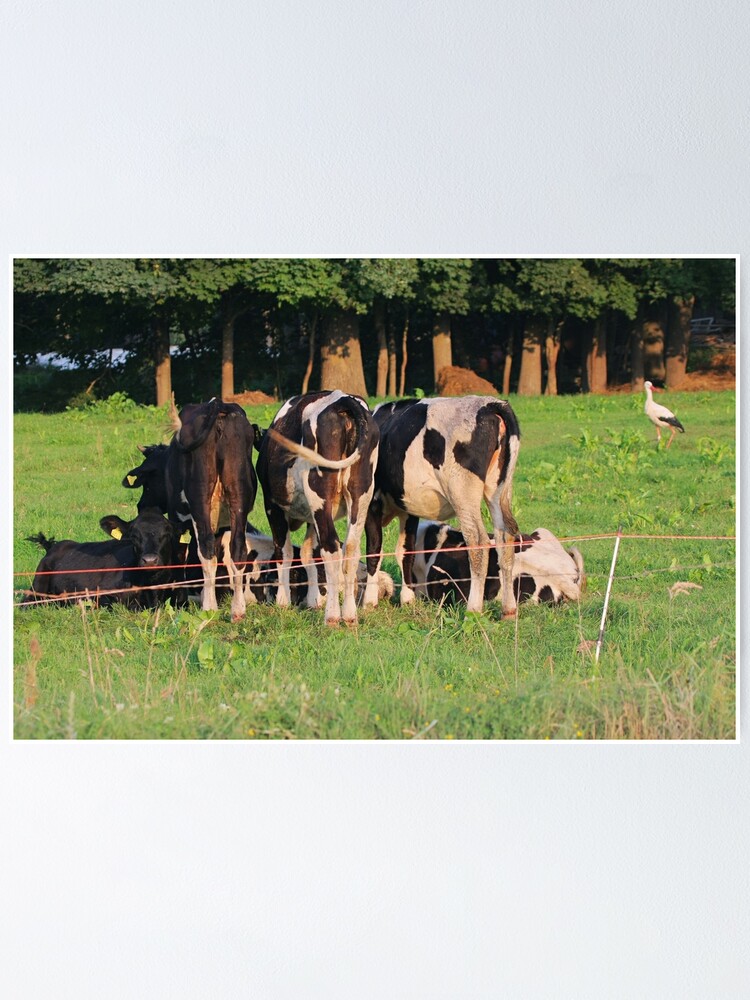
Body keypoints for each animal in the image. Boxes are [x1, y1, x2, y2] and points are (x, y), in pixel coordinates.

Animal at [164, 398, 258, 620]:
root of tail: (219, 405)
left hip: (200, 497)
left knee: (205, 548)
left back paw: (209, 607)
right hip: (238, 491)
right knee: (238, 548)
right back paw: (238, 610)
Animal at [255, 390, 380, 625]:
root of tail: (343, 400)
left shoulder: (272, 506)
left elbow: (284, 552)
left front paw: (283, 601)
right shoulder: (312, 516)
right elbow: (308, 553)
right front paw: (314, 600)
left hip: (319, 493)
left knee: (331, 547)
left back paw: (332, 616)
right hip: (360, 492)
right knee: (351, 548)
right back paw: (349, 615)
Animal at [363, 396, 521, 616]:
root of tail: (490, 404)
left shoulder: (372, 504)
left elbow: (374, 550)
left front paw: (369, 602)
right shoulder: (408, 508)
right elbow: (405, 552)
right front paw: (408, 599)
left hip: (462, 491)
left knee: (478, 540)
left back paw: (473, 609)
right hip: (500, 489)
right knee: (505, 537)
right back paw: (509, 609)